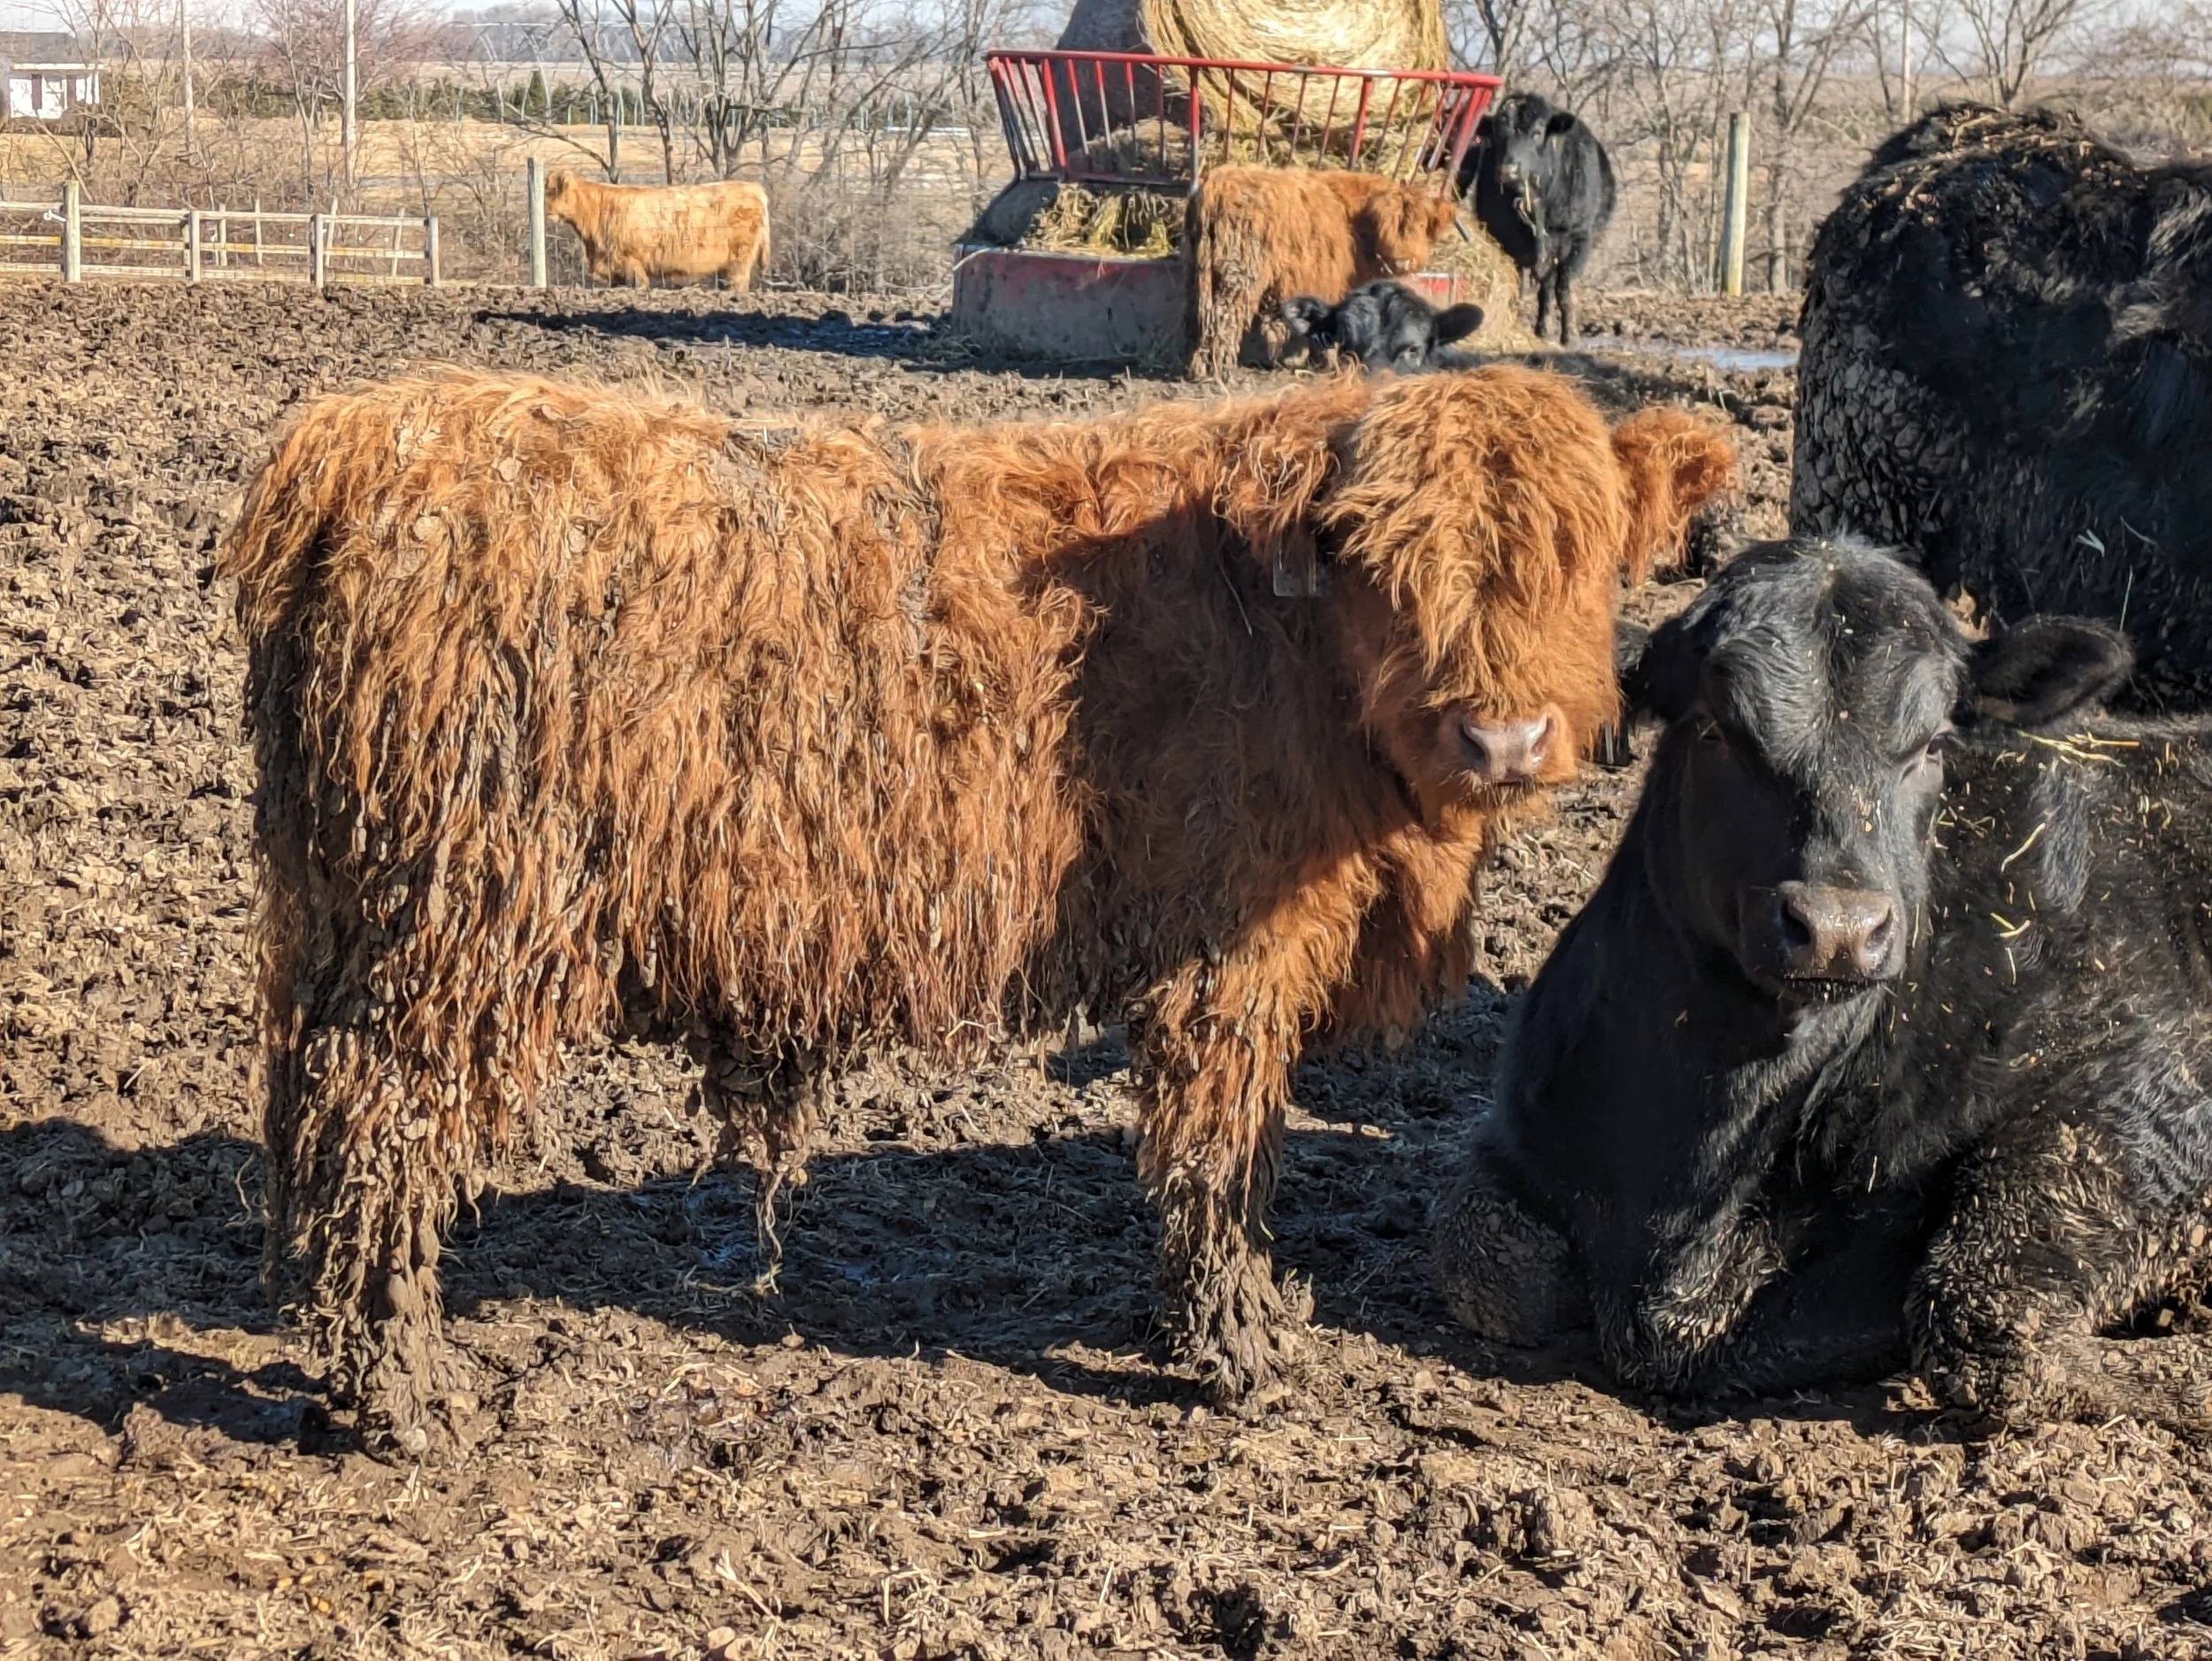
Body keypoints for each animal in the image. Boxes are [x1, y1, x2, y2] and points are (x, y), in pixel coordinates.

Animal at [222, 365, 1735, 1457]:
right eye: (1386, 558)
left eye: (1584, 552)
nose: (1500, 737)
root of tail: (371, 436)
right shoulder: (1228, 956)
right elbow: (1224, 1156)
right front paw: (1239, 1349)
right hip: (453, 930)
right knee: (380, 1134)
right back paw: (402, 1399)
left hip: (357, 919)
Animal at [542, 171, 772, 290]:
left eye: (552, 190)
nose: (544, 210)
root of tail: (754, 188)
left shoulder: (629, 259)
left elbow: (639, 283)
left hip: (740, 257)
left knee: (737, 281)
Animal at [1184, 167, 1463, 378]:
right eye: (1390, 225)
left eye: (1421, 225)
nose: (1404, 261)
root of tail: (1219, 182)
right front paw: (1331, 363)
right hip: (1237, 276)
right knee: (1224, 321)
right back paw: (1219, 370)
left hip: (1202, 276)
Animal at [1432, 536, 2212, 1434]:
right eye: (1717, 727)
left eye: (1933, 743)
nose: (1839, 928)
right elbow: (1484, 1266)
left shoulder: (2156, 1088)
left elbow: (1983, 1315)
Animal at [1454, 92, 1617, 348]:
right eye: (1498, 133)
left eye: (1538, 132)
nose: (1508, 171)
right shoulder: (1507, 239)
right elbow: (1517, 285)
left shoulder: (1580, 239)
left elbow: (1565, 287)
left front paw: (1570, 335)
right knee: (1545, 284)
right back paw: (1542, 327)